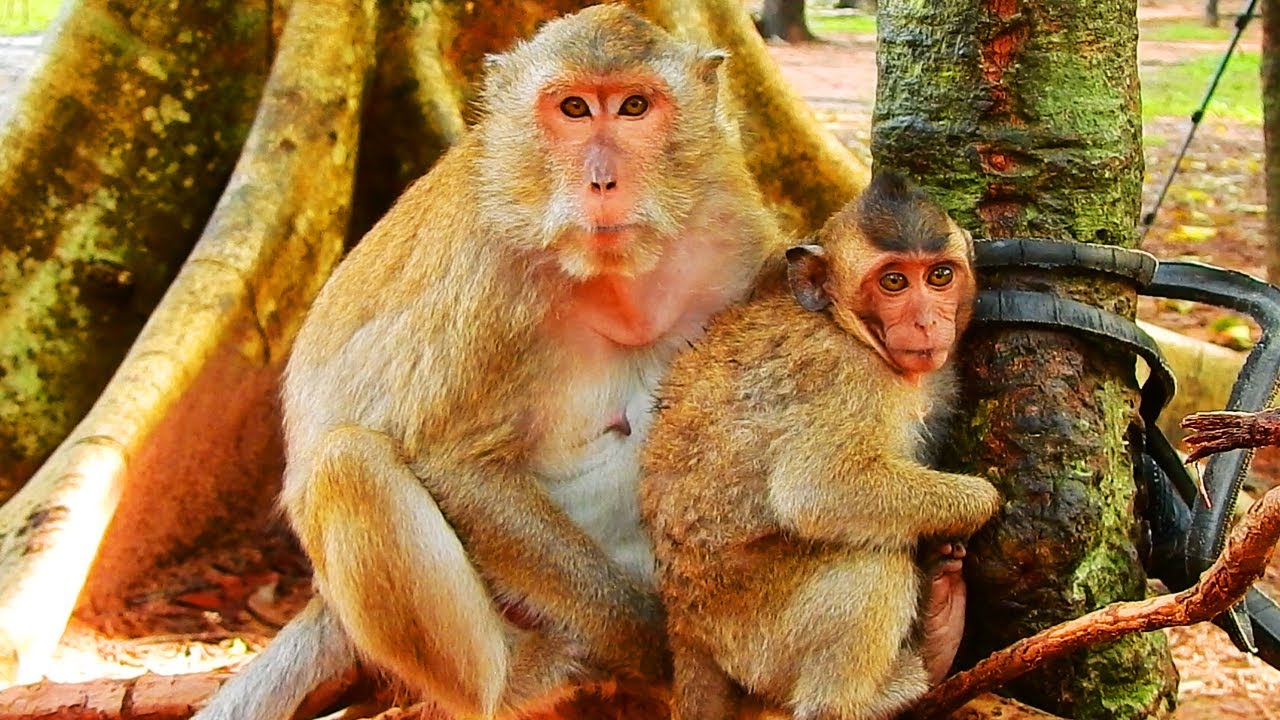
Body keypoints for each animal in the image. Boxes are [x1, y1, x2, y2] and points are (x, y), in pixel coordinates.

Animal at [192, 6, 783, 720]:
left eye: (635, 106)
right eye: (574, 108)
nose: (602, 181)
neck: (616, 280)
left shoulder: (734, 223)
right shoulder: (489, 271)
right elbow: (452, 460)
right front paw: (655, 643)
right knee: (349, 463)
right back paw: (514, 679)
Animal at [639, 170, 1003, 720]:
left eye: (940, 275)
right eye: (894, 282)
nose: (925, 321)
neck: (843, 325)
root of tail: (685, 629)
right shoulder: (846, 377)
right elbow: (816, 488)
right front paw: (980, 500)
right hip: (757, 633)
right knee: (870, 563)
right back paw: (866, 695)